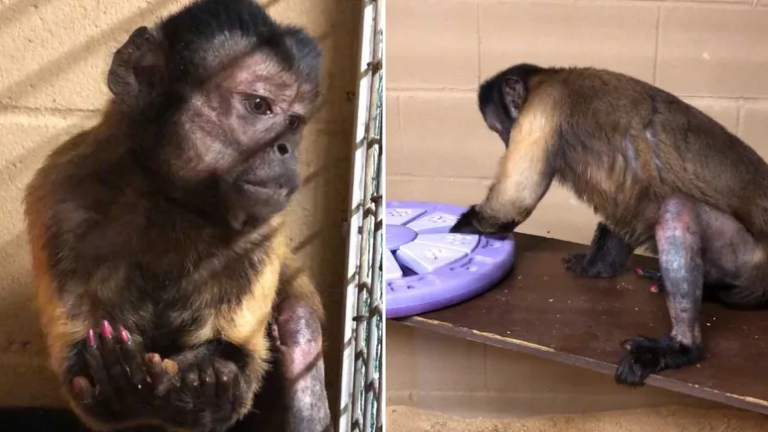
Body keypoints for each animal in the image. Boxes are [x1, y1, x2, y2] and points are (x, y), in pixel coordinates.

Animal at [22, 0, 333, 431]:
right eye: (259, 106)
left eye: (294, 122)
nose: (286, 146)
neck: (168, 201)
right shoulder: (60, 197)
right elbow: (80, 376)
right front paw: (119, 383)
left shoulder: (263, 228)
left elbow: (238, 360)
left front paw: (209, 382)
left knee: (298, 323)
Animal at [449, 63, 768, 387]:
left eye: (501, 128)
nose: (505, 140)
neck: (547, 77)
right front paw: (596, 267)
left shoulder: (541, 110)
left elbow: (513, 203)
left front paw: (459, 229)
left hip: (752, 266)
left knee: (678, 211)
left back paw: (682, 346)